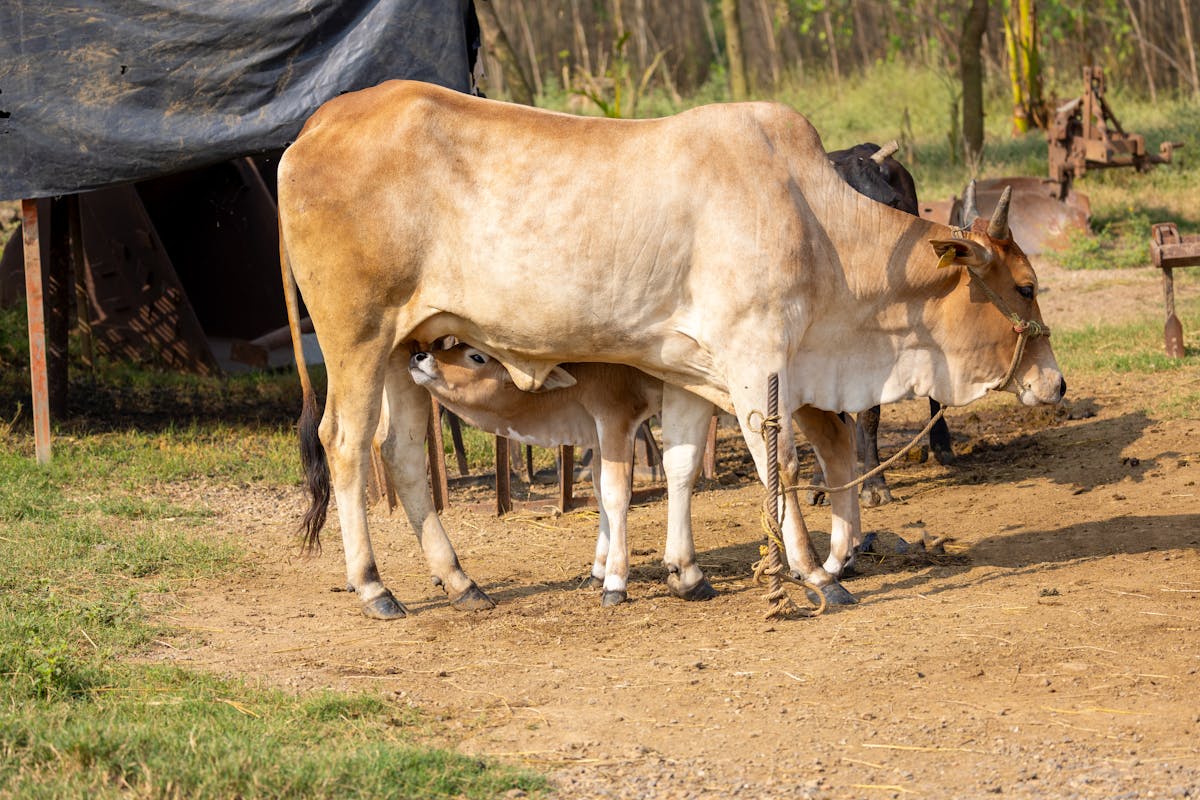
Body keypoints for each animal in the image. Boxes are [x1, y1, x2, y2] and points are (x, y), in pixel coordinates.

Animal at [278, 79, 1064, 620]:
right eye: (1026, 286)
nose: (1055, 384)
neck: (814, 222)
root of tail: (317, 124)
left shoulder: (687, 365)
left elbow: (684, 464)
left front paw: (685, 572)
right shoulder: (757, 356)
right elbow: (778, 462)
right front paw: (814, 574)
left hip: (405, 346)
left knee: (403, 454)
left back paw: (459, 580)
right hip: (356, 336)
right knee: (345, 443)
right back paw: (374, 587)